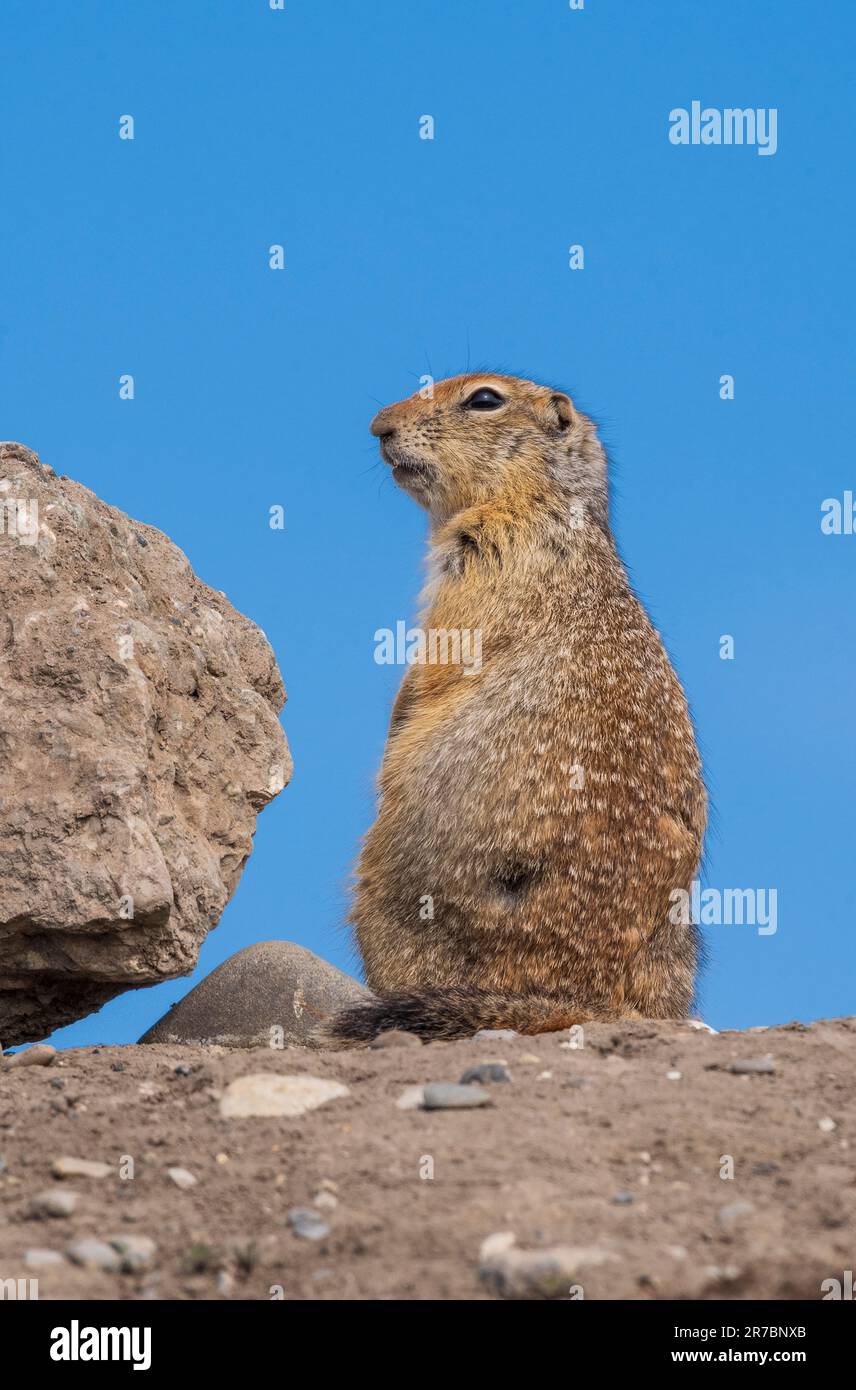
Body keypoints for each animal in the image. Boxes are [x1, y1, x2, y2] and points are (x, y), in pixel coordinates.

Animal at [324, 373, 706, 1043]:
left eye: (484, 399)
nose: (378, 426)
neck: (542, 499)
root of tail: (581, 999)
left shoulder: (483, 560)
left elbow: (434, 665)